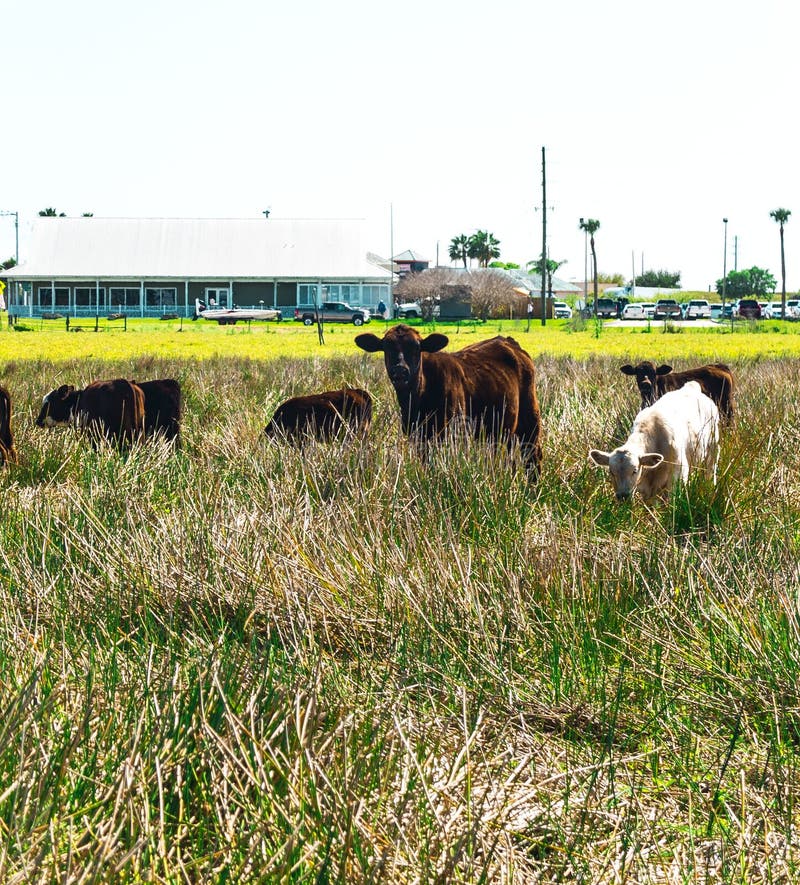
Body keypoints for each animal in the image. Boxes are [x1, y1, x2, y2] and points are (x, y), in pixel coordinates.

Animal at [355, 325, 542, 476]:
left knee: (533, 457)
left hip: (530, 420)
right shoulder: (418, 438)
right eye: (386, 347)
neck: (417, 402)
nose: (400, 371)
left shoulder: (455, 433)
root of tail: (508, 341)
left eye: (416, 347)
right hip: (502, 430)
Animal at [589, 381, 719, 501]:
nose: (623, 496)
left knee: (711, 471)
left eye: (634, 470)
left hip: (713, 447)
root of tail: (691, 387)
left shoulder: (678, 476)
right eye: (611, 472)